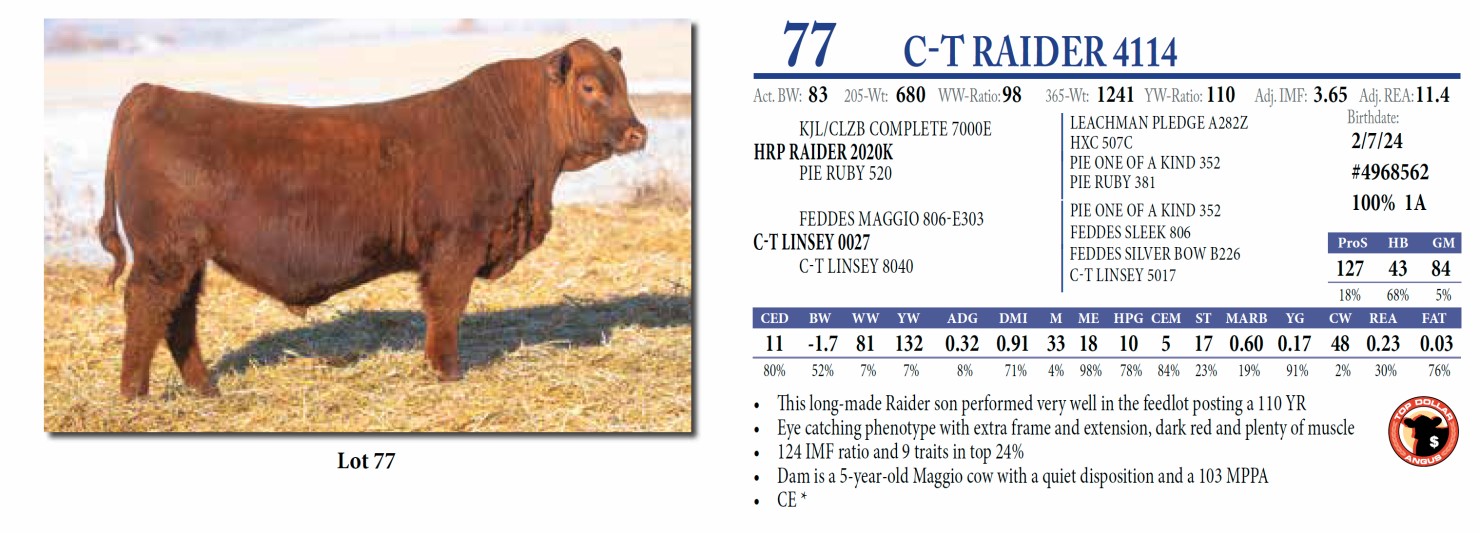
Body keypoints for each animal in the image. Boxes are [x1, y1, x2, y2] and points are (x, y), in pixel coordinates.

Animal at [96, 39, 646, 399]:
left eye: (622, 83)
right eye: (590, 86)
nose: (637, 132)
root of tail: (154, 92)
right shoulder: (455, 246)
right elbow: (446, 307)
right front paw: (447, 372)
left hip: (188, 259)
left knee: (179, 317)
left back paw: (205, 389)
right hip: (164, 255)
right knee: (146, 309)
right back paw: (135, 394)